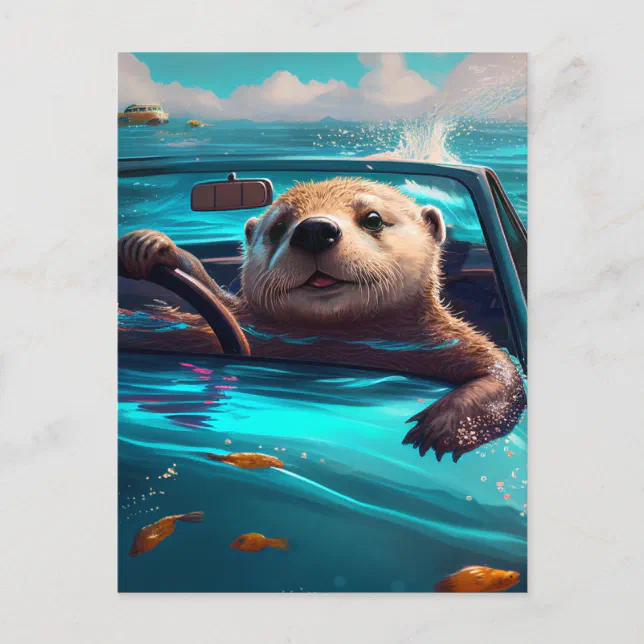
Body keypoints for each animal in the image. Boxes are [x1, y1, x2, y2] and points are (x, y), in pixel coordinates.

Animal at [118, 177, 526, 462]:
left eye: (373, 219)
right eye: (277, 228)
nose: (314, 229)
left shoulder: (438, 339)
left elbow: (502, 370)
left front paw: (446, 426)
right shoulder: (245, 321)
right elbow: (217, 298)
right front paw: (152, 245)